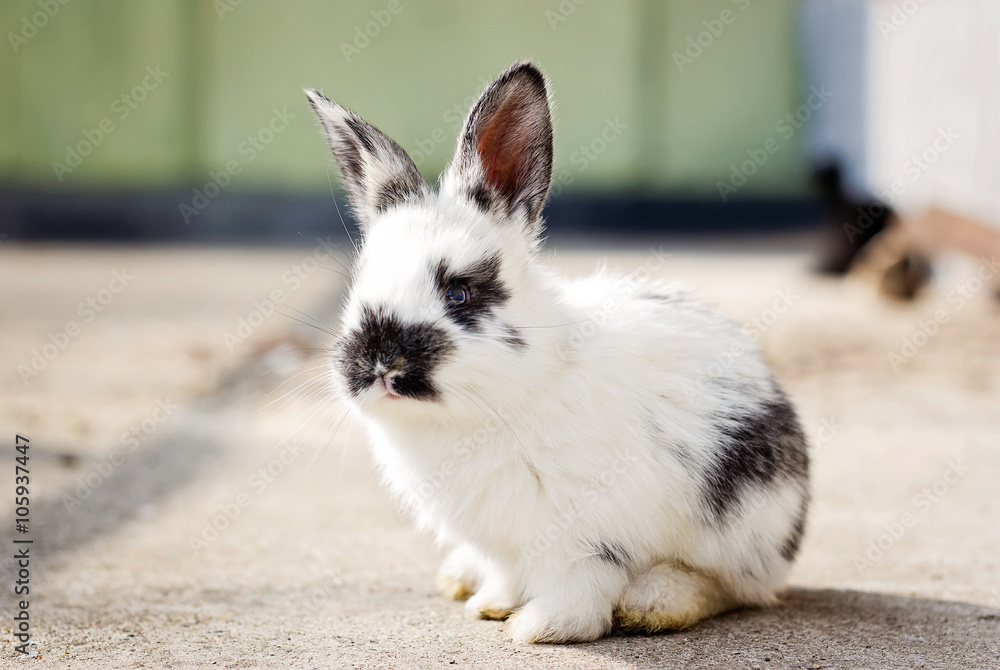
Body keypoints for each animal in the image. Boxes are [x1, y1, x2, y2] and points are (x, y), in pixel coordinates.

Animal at [304, 62, 809, 644]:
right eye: (357, 289)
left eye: (458, 293)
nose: (379, 364)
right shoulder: (499, 539)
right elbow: (504, 573)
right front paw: (491, 606)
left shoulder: (584, 537)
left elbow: (580, 588)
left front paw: (539, 628)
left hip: (742, 530)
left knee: (730, 587)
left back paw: (655, 604)